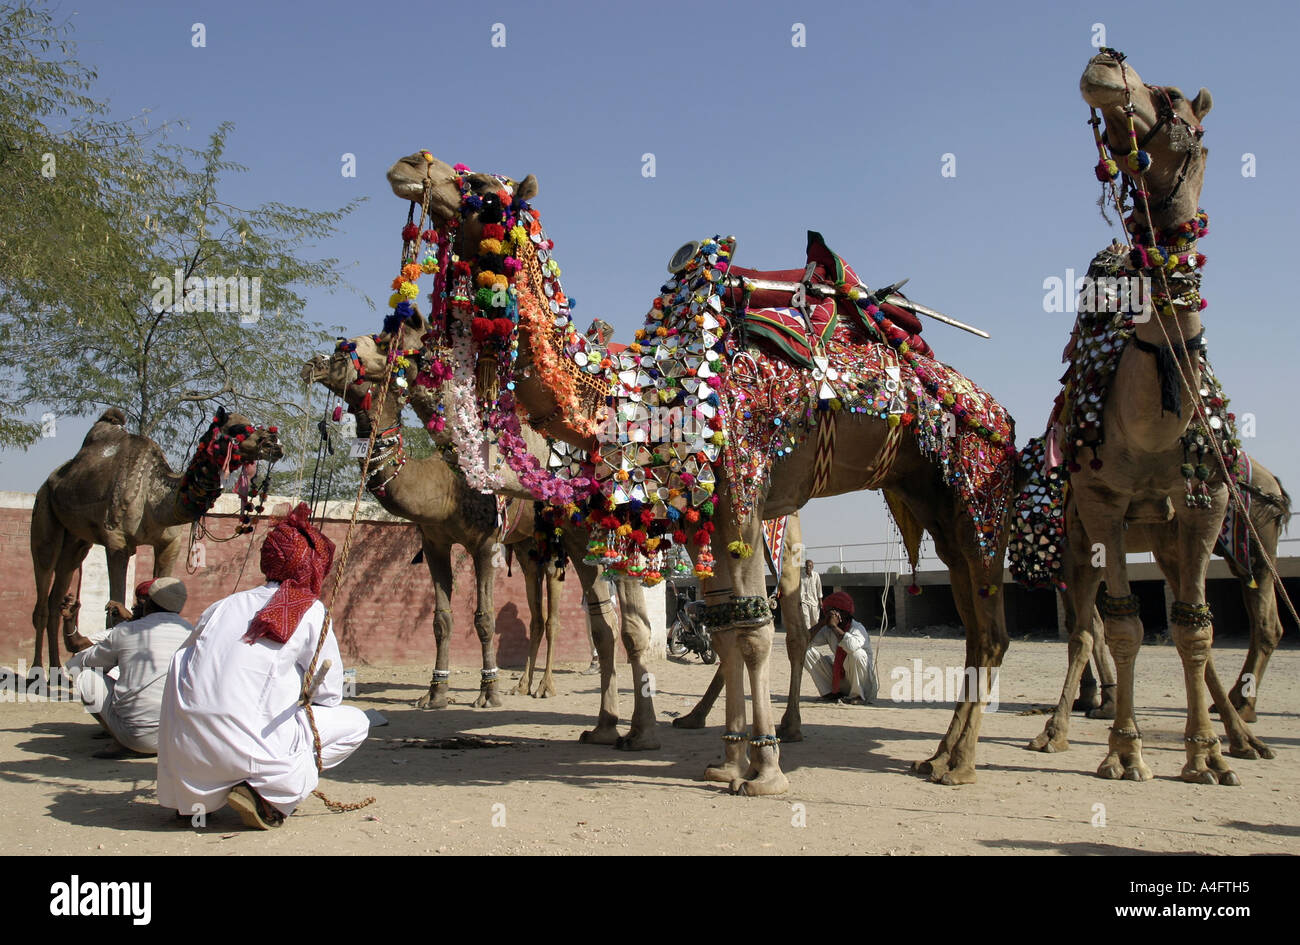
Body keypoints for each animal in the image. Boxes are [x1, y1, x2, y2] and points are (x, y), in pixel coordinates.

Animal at [30, 406, 282, 674]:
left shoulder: (169, 544)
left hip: (76, 539)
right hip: (44, 510)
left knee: (58, 589)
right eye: (237, 427)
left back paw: (56, 669)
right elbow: (113, 608)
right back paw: (37, 671)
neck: (154, 498)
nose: (274, 442)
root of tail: (51, 479)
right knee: (43, 584)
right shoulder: (117, 542)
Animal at [386, 152, 1018, 793]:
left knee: (983, 629)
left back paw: (953, 763)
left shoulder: (741, 492)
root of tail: (1002, 414)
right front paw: (728, 760)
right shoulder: (703, 519)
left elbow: (752, 634)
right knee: (971, 622)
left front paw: (765, 772)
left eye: (486, 192)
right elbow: (724, 630)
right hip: (927, 494)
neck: (639, 396)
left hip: (975, 491)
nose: (411, 164)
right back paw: (936, 757)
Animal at [1031, 50, 1273, 784]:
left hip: (1170, 535)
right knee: (1086, 625)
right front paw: (1124, 750)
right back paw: (1057, 729)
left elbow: (1195, 626)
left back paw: (1236, 737)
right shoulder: (1103, 503)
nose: (1105, 62)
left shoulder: (1207, 503)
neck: (1153, 420)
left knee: (1195, 619)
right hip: (1080, 534)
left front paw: (1204, 755)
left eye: (1172, 97)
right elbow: (1123, 625)